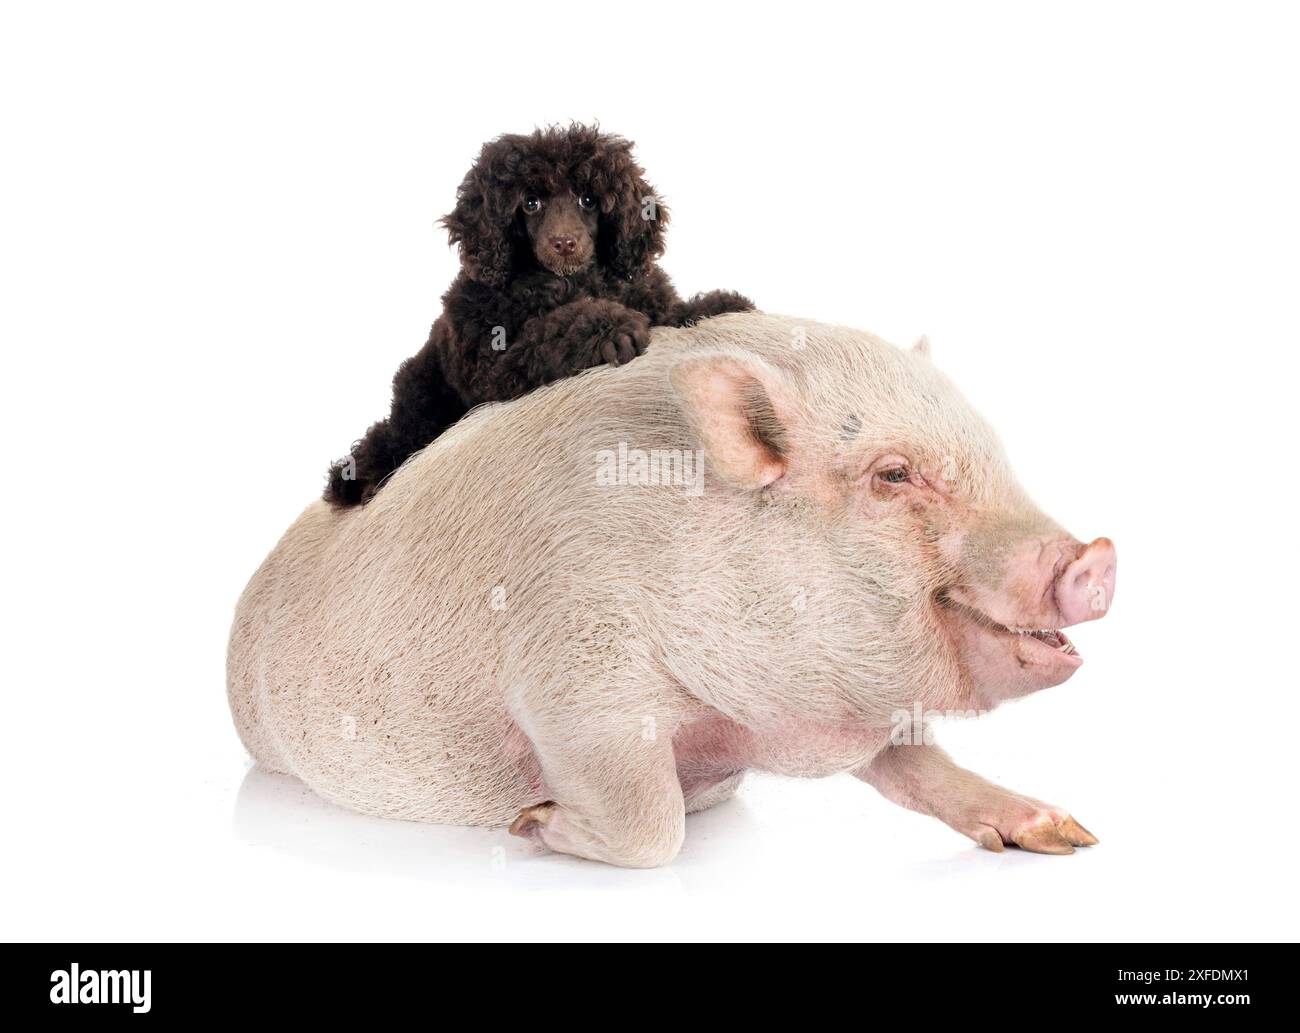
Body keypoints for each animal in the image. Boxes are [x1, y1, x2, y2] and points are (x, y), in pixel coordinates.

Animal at [227, 312, 1116, 867]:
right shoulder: (571, 678)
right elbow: (652, 825)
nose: (1094, 556)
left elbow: (917, 764)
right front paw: (531, 823)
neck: (739, 727)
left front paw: (1069, 836)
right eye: (893, 475)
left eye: (997, 450)